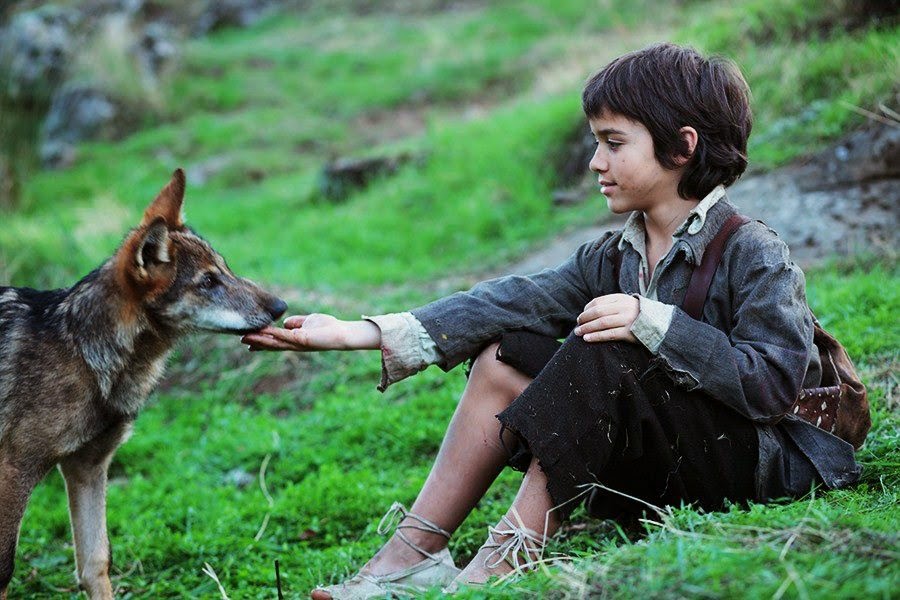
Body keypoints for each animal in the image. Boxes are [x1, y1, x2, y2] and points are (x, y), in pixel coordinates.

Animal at [0, 169, 287, 599]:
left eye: (226, 270)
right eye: (208, 282)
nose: (281, 307)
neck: (82, 352)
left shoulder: (88, 467)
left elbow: (96, 563)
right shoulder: (15, 470)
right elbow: (4, 570)